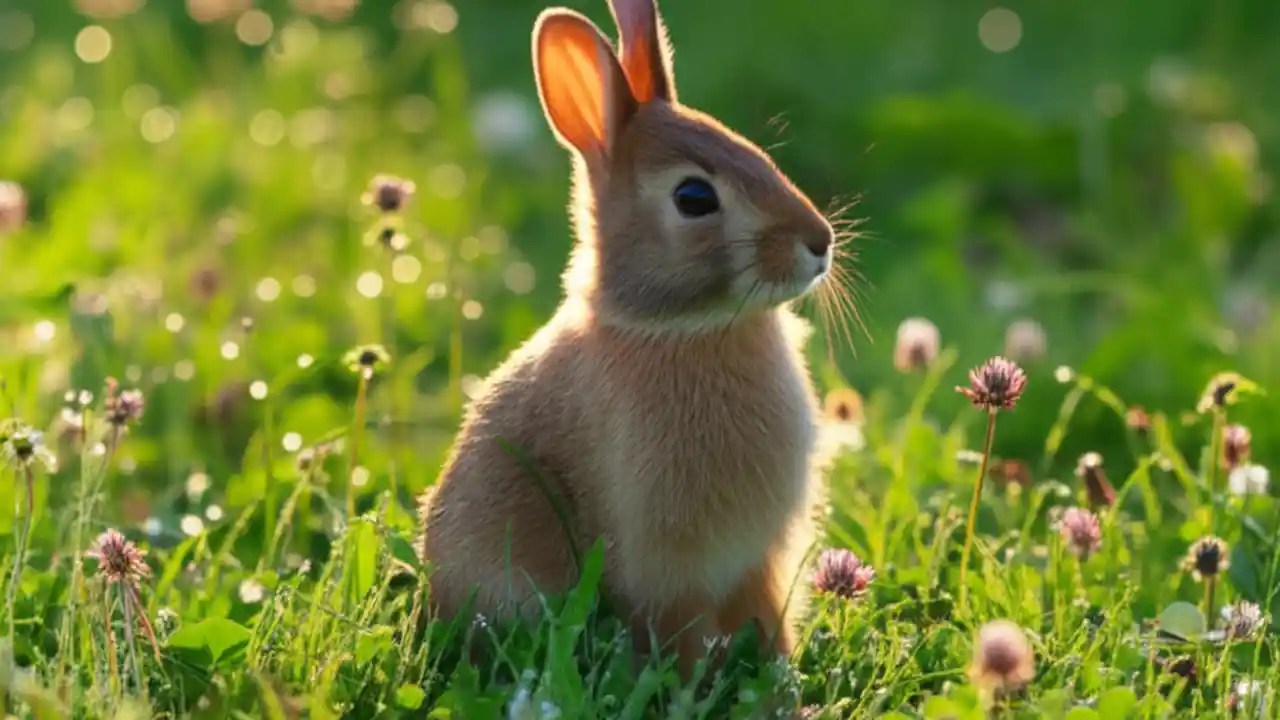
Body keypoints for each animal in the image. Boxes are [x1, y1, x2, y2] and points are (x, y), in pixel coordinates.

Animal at [419, 0, 837, 675]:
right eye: (693, 197)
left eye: (756, 153)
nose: (820, 242)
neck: (675, 328)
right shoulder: (664, 566)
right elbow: (679, 636)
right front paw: (692, 685)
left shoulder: (757, 563)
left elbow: (768, 623)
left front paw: (784, 681)